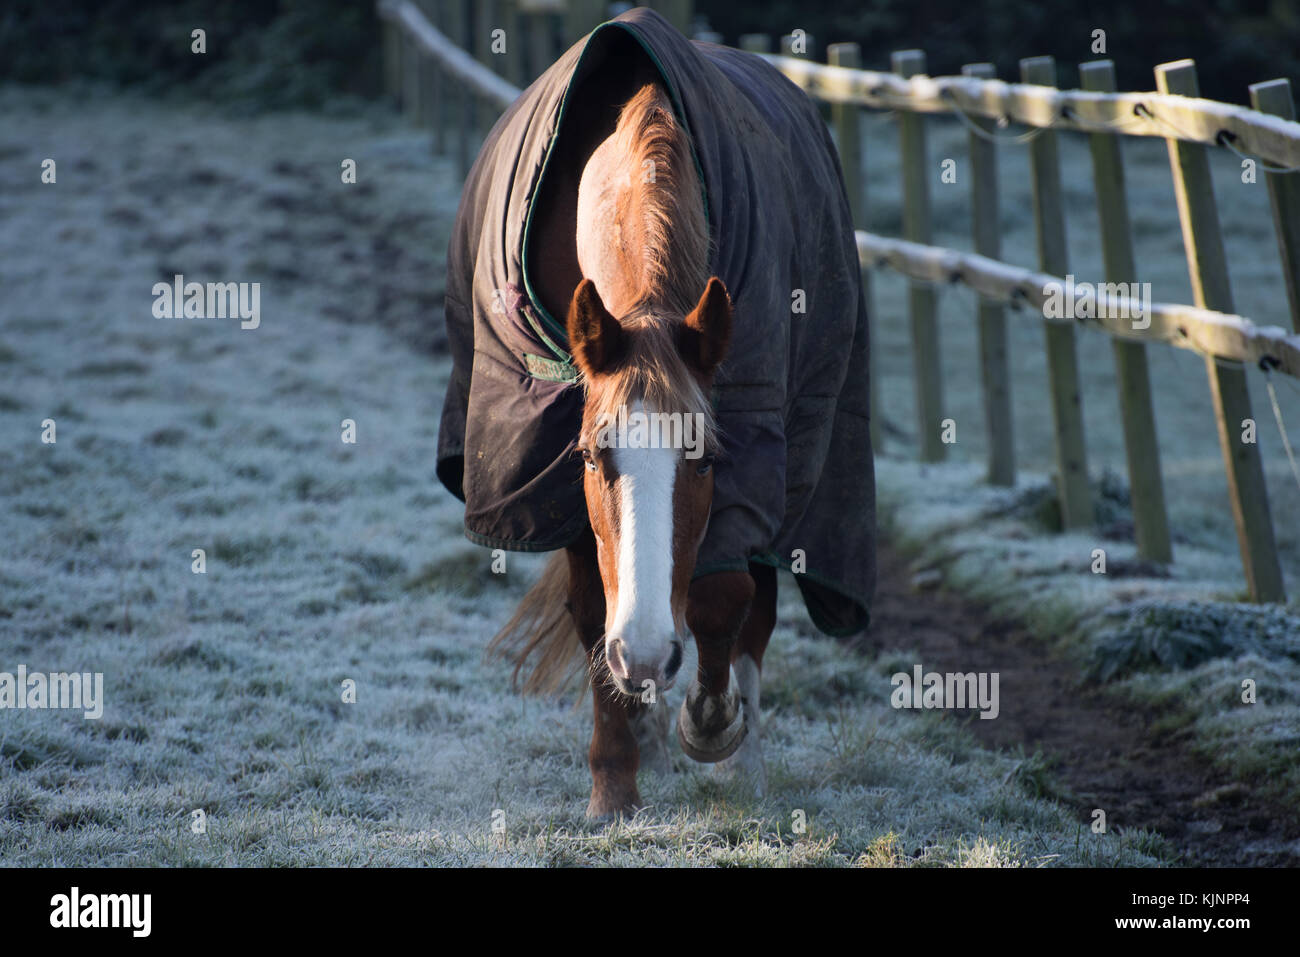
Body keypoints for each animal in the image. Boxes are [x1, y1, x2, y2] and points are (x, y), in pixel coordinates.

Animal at [438, 9, 875, 819]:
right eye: (587, 454)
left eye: (704, 459)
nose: (644, 652)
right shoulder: (557, 478)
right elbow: (590, 607)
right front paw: (615, 781)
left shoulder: (755, 449)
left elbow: (726, 596)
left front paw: (713, 723)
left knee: (754, 606)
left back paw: (744, 759)